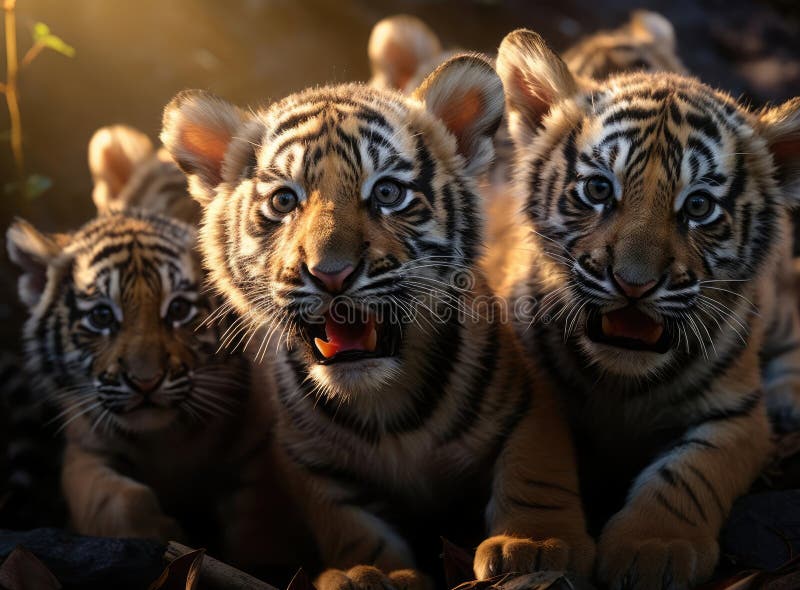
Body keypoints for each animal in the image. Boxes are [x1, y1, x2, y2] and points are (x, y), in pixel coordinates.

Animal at [5, 126, 308, 569]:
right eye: (102, 317)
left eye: (178, 310)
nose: (145, 382)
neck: (168, 439)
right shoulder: (84, 451)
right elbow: (116, 501)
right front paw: (163, 535)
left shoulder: (261, 448)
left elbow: (260, 524)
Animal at [160, 54, 594, 589]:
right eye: (284, 201)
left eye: (387, 192)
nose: (330, 273)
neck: (382, 400)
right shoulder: (310, 462)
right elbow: (352, 525)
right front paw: (370, 574)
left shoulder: (529, 404)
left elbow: (534, 473)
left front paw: (533, 545)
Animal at [494, 28, 800, 589]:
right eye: (598, 189)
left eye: (698, 206)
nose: (634, 284)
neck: (623, 380)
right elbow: (536, 463)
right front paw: (535, 547)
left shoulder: (735, 415)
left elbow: (690, 474)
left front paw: (652, 548)